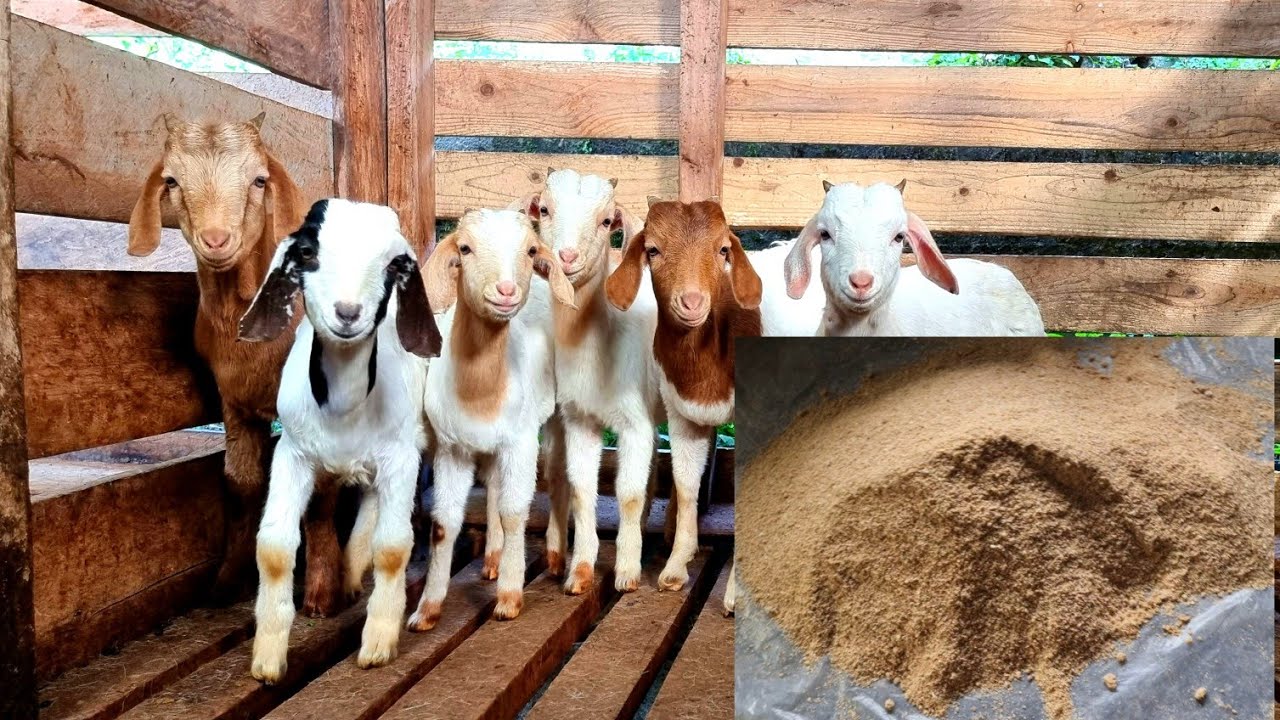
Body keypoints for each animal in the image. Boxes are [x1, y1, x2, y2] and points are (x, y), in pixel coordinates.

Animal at [127, 113, 346, 614]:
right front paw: (228, 581)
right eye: (171, 180)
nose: (216, 240)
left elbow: (321, 492)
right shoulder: (234, 401)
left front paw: (322, 591)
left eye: (259, 180)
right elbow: (242, 483)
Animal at [237, 199, 441, 682]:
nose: (348, 313)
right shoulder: (291, 452)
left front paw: (379, 641)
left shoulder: (401, 457)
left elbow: (393, 547)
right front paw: (267, 657)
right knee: (367, 505)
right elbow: (273, 548)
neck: (345, 408)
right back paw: (347, 577)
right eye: (307, 252)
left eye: (394, 263)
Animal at [409, 209, 575, 629]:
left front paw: (510, 597)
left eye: (531, 250)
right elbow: (443, 524)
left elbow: (515, 513)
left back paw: (554, 557)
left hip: (550, 417)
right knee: (495, 486)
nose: (506, 291)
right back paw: (493, 558)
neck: (482, 391)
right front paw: (427, 609)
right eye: (465, 248)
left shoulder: (521, 442)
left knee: (556, 476)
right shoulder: (451, 449)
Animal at [514, 168, 657, 594]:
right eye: (544, 209)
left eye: (607, 221)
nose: (567, 258)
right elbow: (581, 489)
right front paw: (580, 570)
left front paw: (626, 571)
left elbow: (628, 494)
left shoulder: (636, 424)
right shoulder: (579, 419)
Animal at [605, 198, 757, 615]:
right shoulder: (683, 416)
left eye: (723, 250)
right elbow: (687, 485)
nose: (691, 302)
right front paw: (676, 567)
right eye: (653, 250)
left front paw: (735, 594)